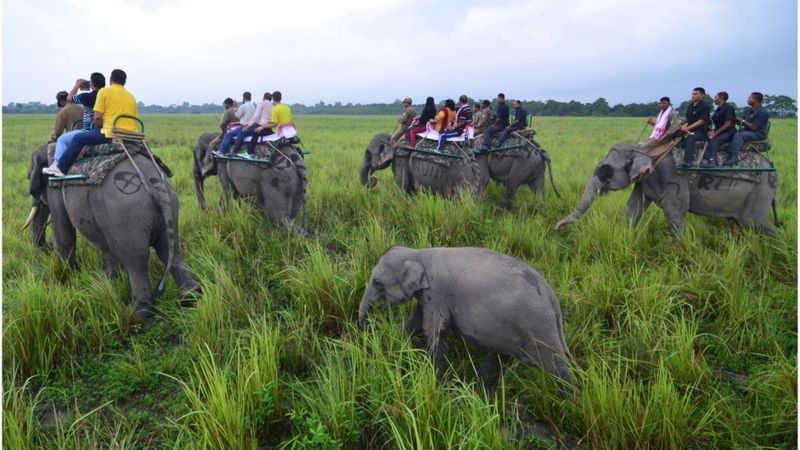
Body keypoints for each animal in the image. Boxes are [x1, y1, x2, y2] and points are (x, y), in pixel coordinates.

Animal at [27, 144, 201, 321]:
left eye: (28, 176)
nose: (46, 247)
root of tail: (153, 183)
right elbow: (107, 248)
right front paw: (110, 282)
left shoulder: (55, 187)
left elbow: (64, 236)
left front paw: (71, 275)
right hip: (170, 205)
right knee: (169, 249)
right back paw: (190, 296)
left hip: (126, 211)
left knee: (136, 259)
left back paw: (136, 313)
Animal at [359, 246, 574, 386]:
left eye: (378, 283)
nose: (365, 330)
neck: (418, 253)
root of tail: (553, 301)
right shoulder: (428, 296)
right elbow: (416, 320)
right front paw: (393, 341)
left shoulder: (437, 293)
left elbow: (434, 330)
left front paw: (436, 380)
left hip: (539, 328)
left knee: (558, 369)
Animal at [554, 143, 779, 235]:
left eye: (605, 172)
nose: (556, 228)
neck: (646, 149)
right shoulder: (644, 179)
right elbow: (633, 207)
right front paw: (623, 237)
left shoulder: (673, 179)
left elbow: (674, 213)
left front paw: (683, 250)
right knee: (741, 223)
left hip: (760, 193)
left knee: (755, 223)